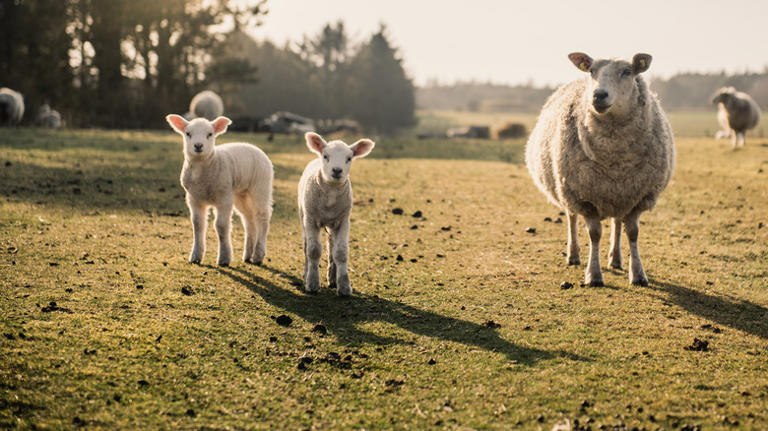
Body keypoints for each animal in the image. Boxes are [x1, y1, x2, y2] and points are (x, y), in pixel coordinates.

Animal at [166, 114, 273, 266]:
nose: (198, 146)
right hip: (240, 194)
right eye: (188, 133)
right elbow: (198, 224)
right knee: (249, 219)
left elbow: (221, 226)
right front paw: (195, 256)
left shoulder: (224, 198)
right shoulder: (194, 198)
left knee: (262, 216)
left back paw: (258, 255)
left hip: (260, 186)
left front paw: (224, 258)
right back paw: (248, 255)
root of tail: (253, 147)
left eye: (210, 134)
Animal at [298, 132, 375, 296]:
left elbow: (340, 252)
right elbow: (313, 250)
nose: (337, 170)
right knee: (306, 246)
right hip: (303, 216)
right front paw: (312, 283)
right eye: (326, 156)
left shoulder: (343, 220)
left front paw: (344, 286)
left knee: (331, 245)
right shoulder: (311, 219)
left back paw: (332, 277)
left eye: (349, 158)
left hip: (332, 224)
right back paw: (306, 274)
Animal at [525, 53, 675, 287]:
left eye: (627, 71)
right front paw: (593, 275)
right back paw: (574, 255)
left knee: (617, 222)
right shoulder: (585, 198)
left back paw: (615, 259)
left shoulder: (638, 197)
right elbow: (594, 234)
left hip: (618, 194)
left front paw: (638, 274)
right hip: (567, 189)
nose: (598, 95)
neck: (614, 157)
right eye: (591, 71)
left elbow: (633, 233)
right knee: (571, 218)